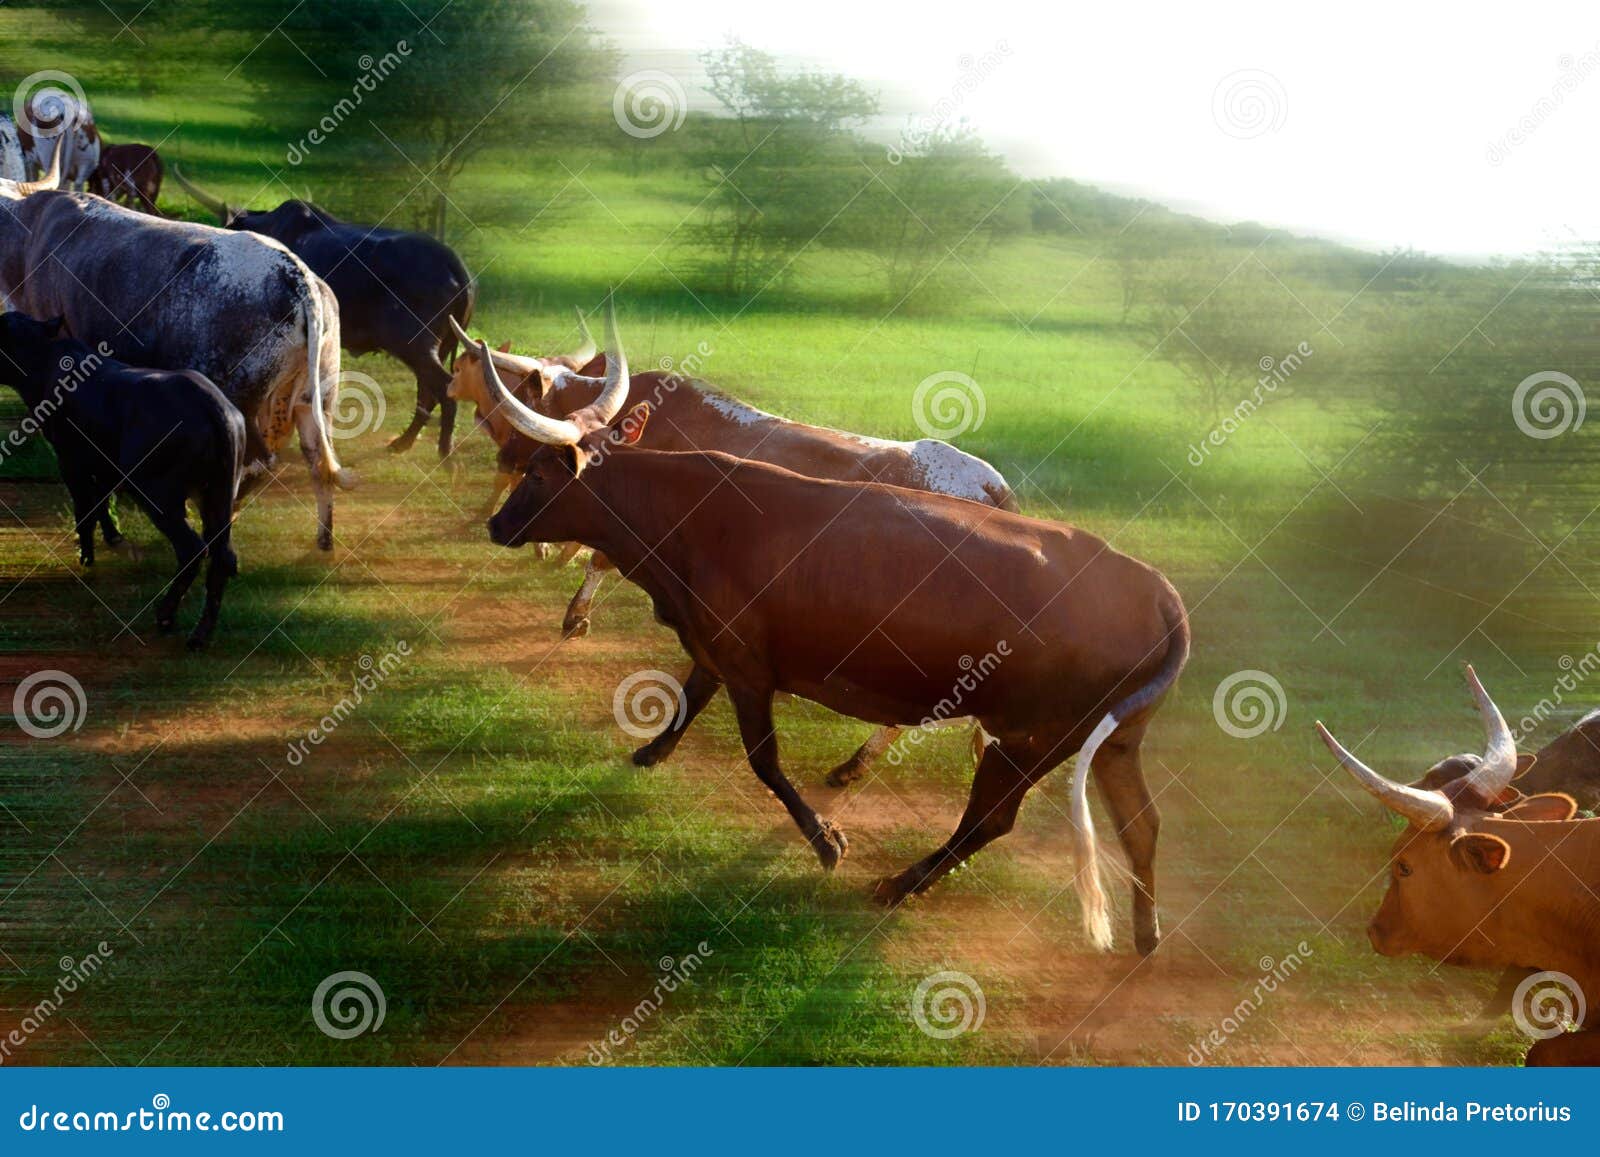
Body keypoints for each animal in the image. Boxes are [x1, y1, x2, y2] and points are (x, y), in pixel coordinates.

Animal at [0, 156, 354, 549]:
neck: (27, 234)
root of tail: (299, 278)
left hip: (242, 400)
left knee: (254, 466)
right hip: (315, 396)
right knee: (318, 460)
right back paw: (323, 541)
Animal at [0, 312, 244, 649]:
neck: (44, 362)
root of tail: (214, 404)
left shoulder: (69, 461)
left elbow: (84, 509)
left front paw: (85, 556)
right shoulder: (105, 466)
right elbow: (101, 502)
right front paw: (112, 537)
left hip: (157, 493)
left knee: (193, 548)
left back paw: (166, 615)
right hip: (218, 496)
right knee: (223, 555)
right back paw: (200, 633)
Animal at [174, 169, 475, 458]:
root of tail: (456, 267)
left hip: (414, 345)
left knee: (442, 391)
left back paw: (442, 450)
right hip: (434, 347)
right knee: (429, 392)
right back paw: (404, 442)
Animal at [448, 312, 1017, 787]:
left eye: (527, 405)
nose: (502, 454)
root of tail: (992, 486)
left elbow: (598, 561)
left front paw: (574, 614)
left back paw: (853, 764)